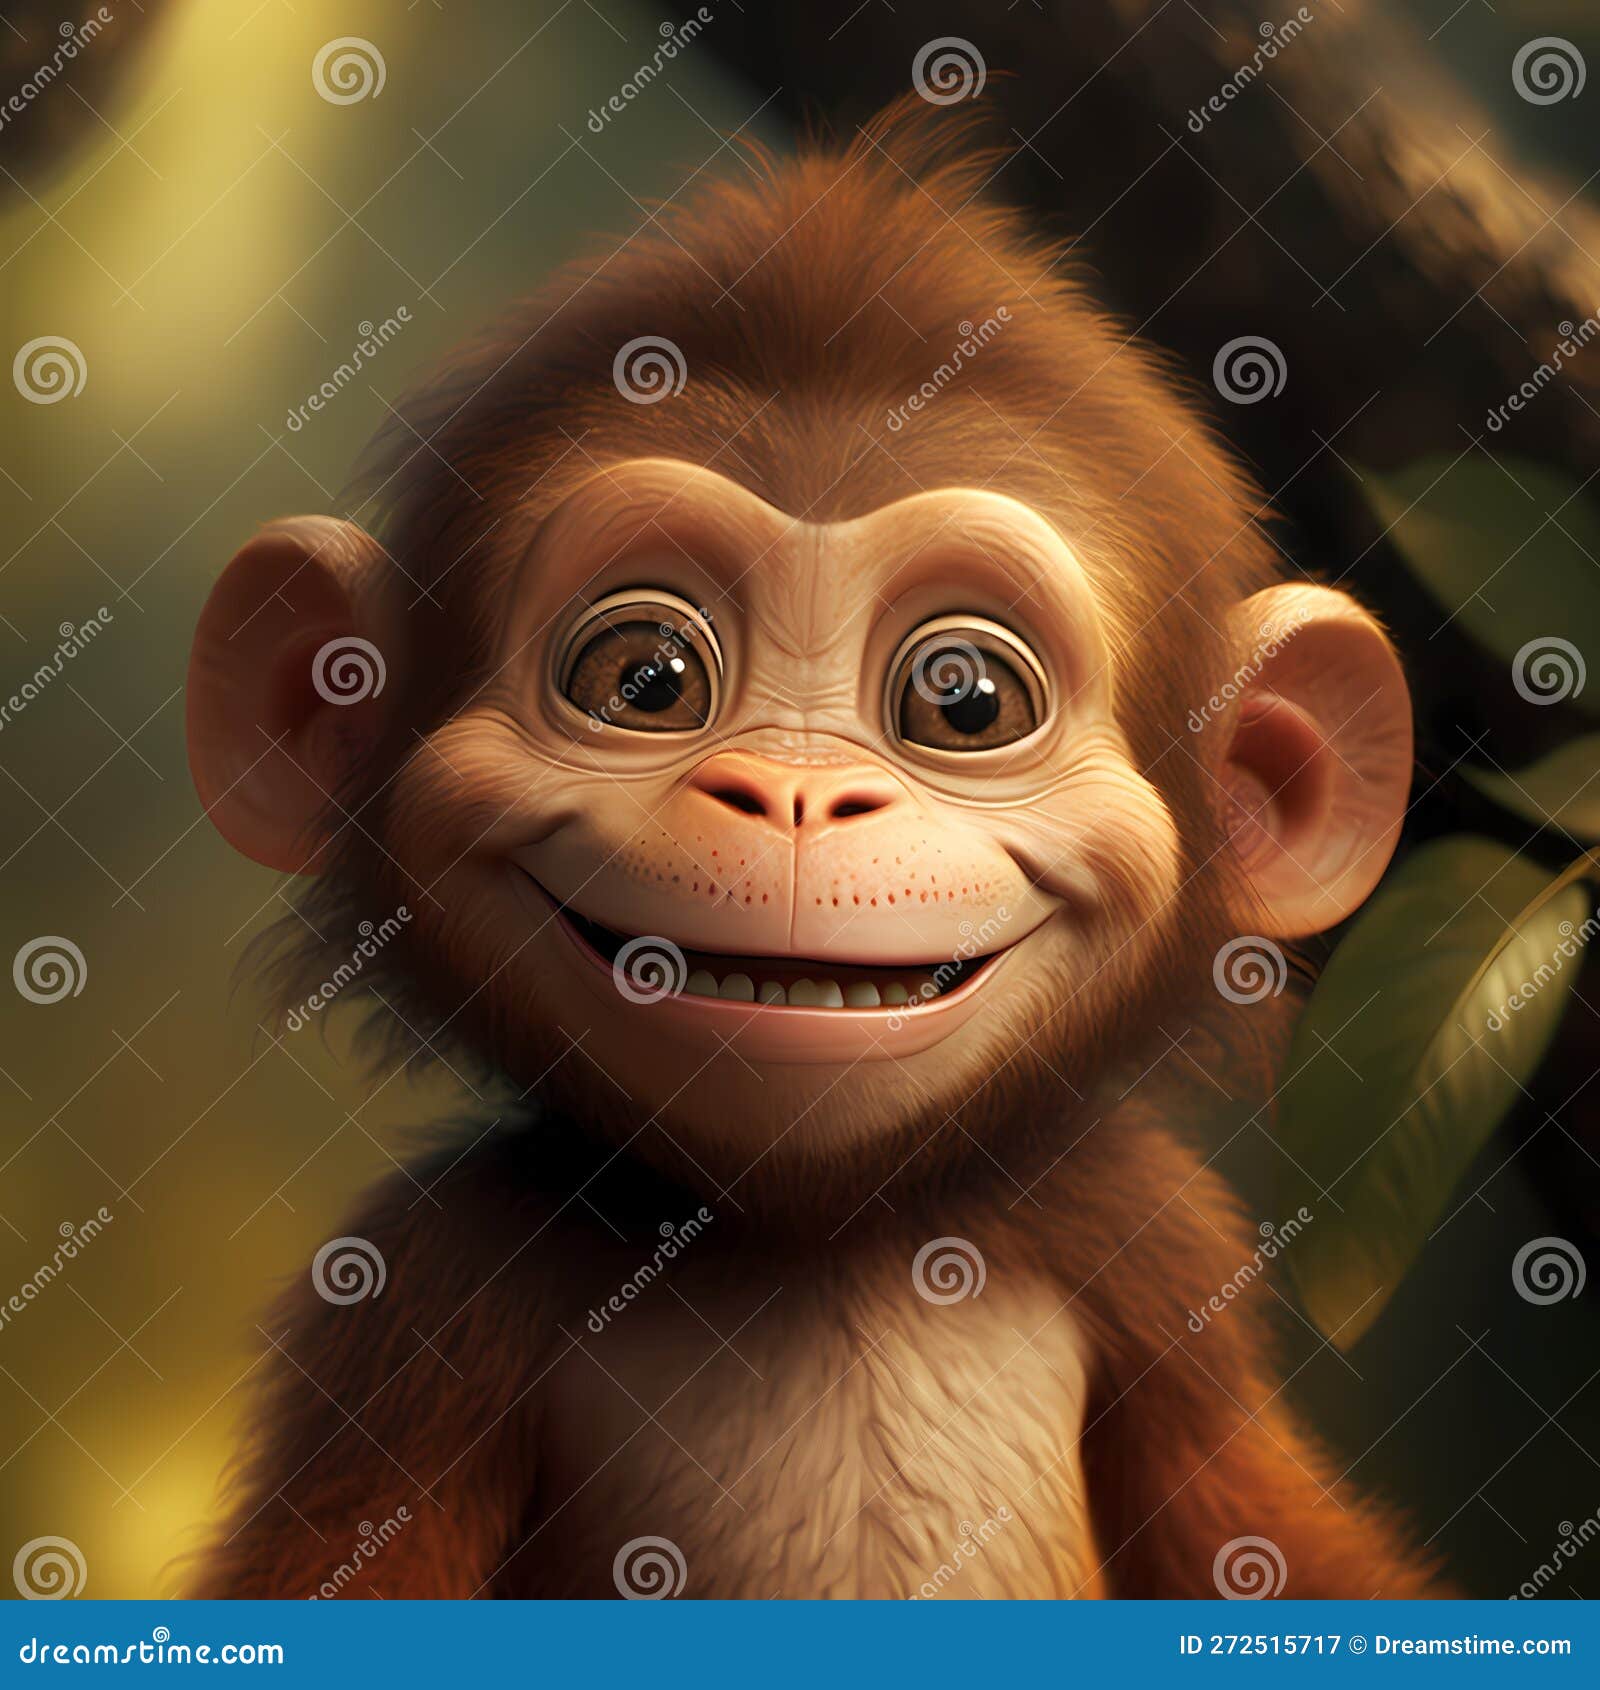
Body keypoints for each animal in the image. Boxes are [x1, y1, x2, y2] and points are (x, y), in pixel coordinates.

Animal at [183, 104, 1442, 1600]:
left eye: (965, 699)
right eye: (645, 678)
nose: (794, 795)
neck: (820, 1245)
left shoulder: (1154, 1248)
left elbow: (1267, 1537)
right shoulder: (425, 1297)